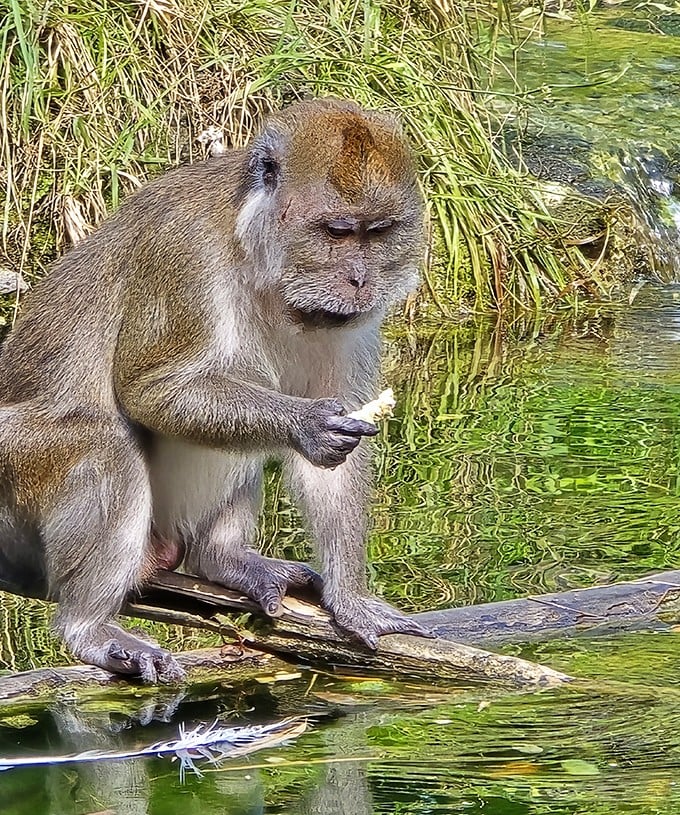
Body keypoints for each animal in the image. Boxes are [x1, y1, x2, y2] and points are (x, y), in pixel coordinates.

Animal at [0, 98, 429, 682]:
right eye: (338, 232)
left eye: (379, 231)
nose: (361, 281)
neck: (262, 263)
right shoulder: (184, 254)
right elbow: (151, 390)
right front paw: (307, 424)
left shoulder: (349, 323)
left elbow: (336, 459)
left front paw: (351, 599)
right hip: (13, 481)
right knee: (105, 444)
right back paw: (88, 628)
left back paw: (220, 559)